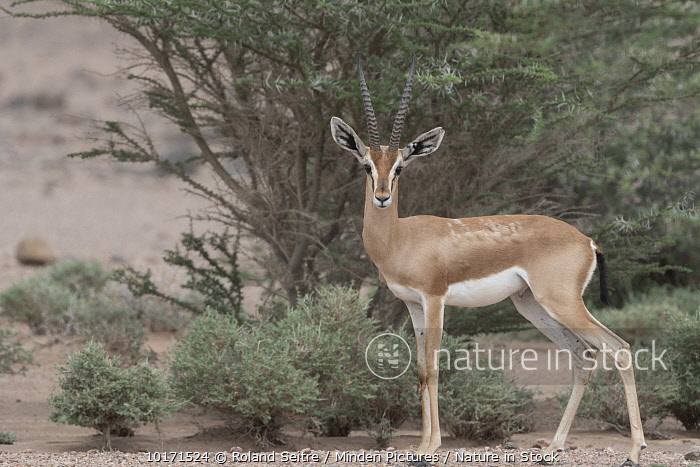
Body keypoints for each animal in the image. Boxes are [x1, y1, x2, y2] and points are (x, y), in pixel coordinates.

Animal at [330, 54, 647, 467]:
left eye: (400, 167)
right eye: (367, 165)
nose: (382, 197)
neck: (400, 239)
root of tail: (588, 241)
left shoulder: (435, 300)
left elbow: (435, 367)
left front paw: (430, 448)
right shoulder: (412, 305)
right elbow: (420, 370)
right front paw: (419, 446)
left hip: (562, 302)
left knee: (618, 348)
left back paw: (634, 452)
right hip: (531, 305)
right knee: (584, 355)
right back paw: (555, 447)